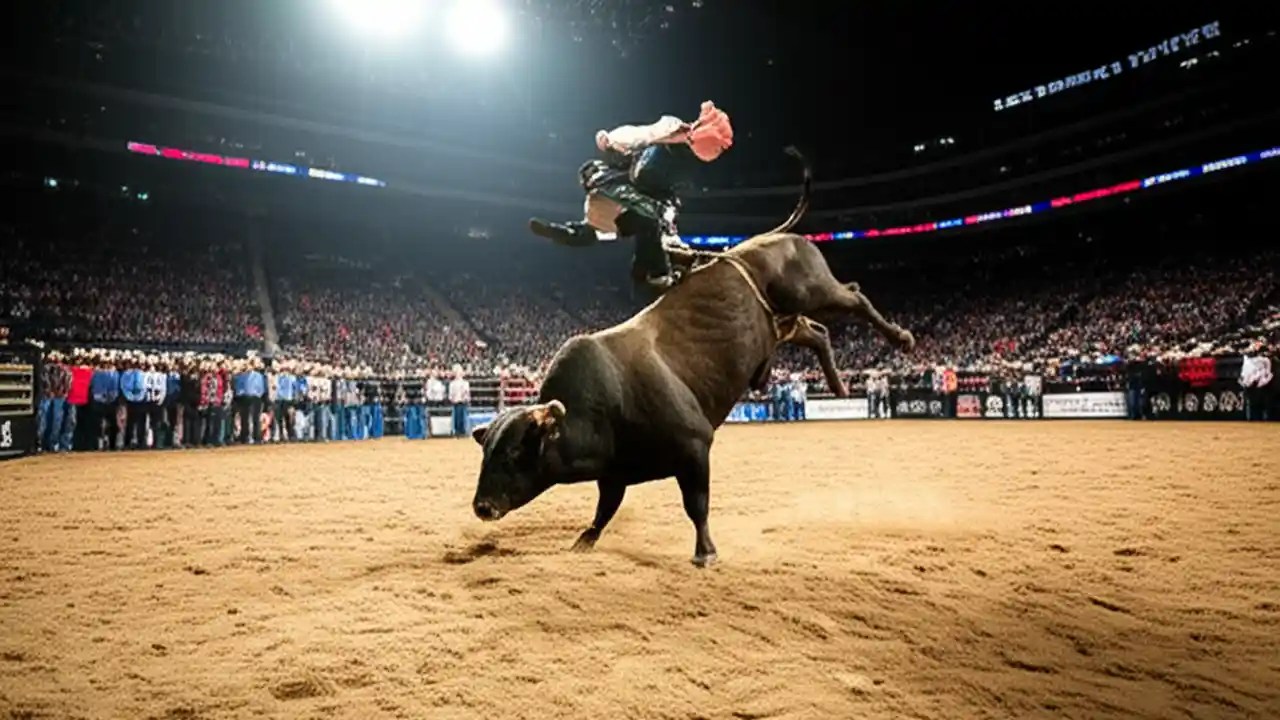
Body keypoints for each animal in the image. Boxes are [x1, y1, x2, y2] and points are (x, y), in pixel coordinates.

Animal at [470, 150, 914, 566]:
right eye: (486, 451)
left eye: (514, 453)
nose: (482, 507)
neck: (602, 404)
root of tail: (769, 239)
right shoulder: (615, 473)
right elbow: (605, 509)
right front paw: (585, 540)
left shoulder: (695, 446)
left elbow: (695, 504)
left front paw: (705, 551)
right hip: (782, 320)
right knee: (817, 331)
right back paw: (838, 385)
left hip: (811, 289)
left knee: (854, 295)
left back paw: (902, 338)